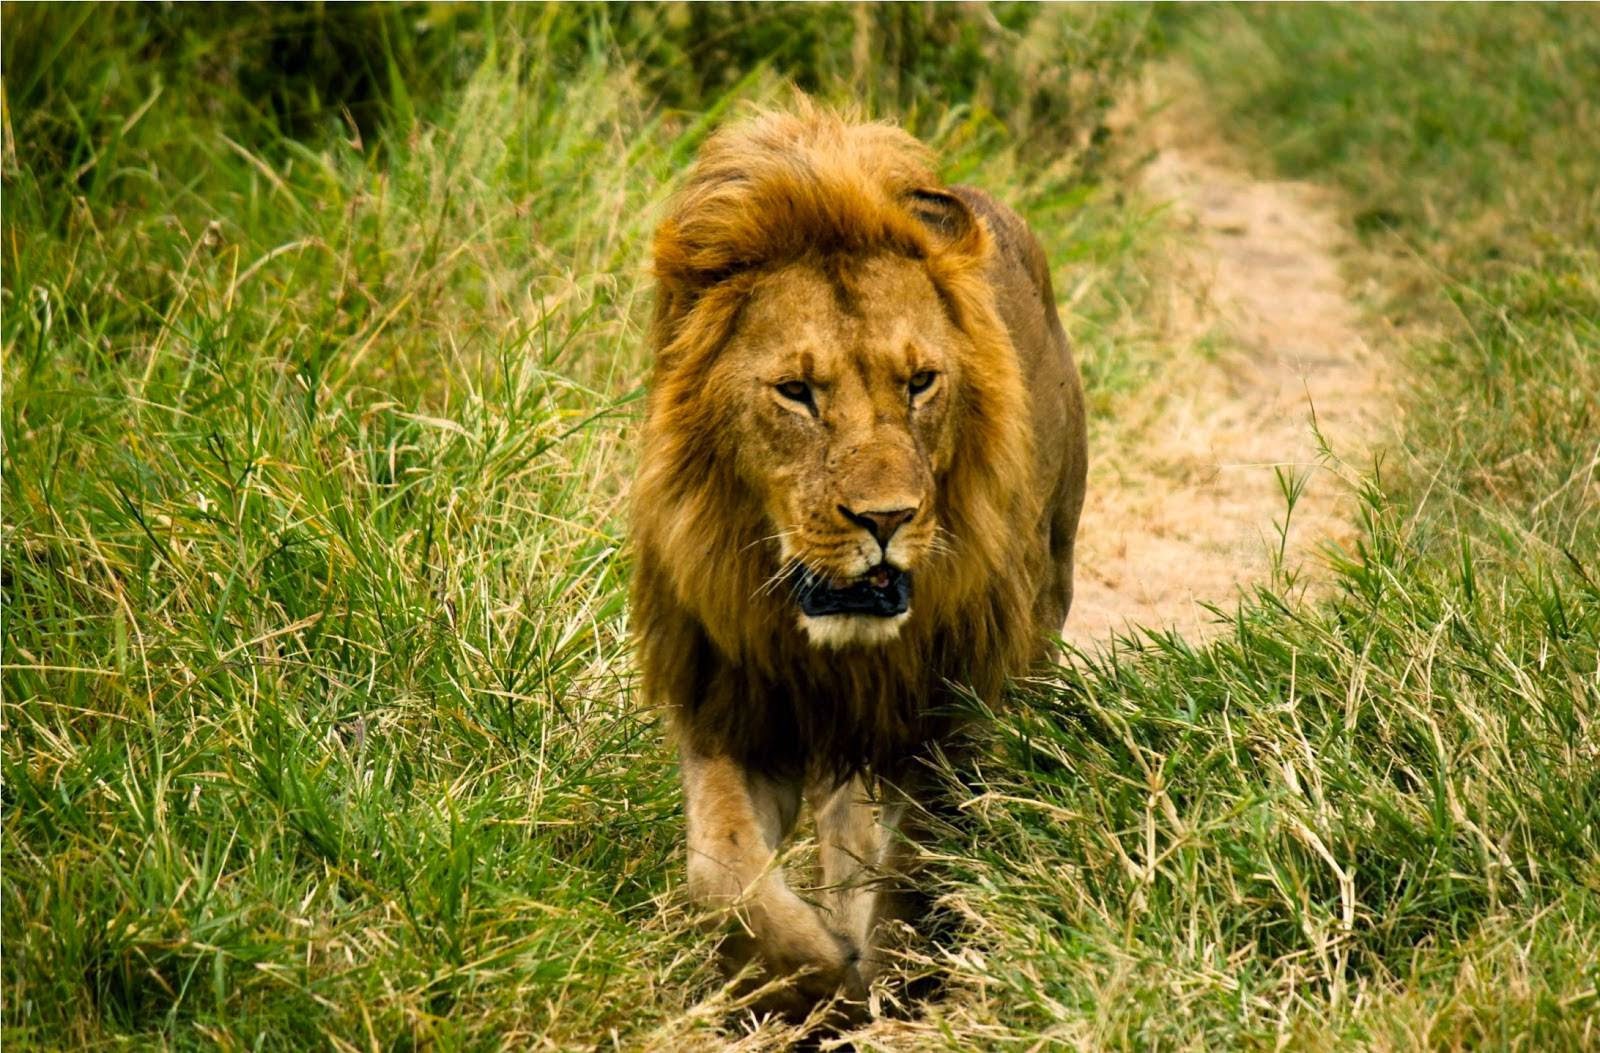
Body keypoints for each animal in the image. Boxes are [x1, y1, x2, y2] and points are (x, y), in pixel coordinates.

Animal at [631, 101, 1086, 1017]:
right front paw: (804, 973)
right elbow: (722, 870)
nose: (887, 518)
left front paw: (893, 973)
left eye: (920, 382)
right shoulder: (734, 698)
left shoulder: (960, 698)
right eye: (796, 392)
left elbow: (921, 849)